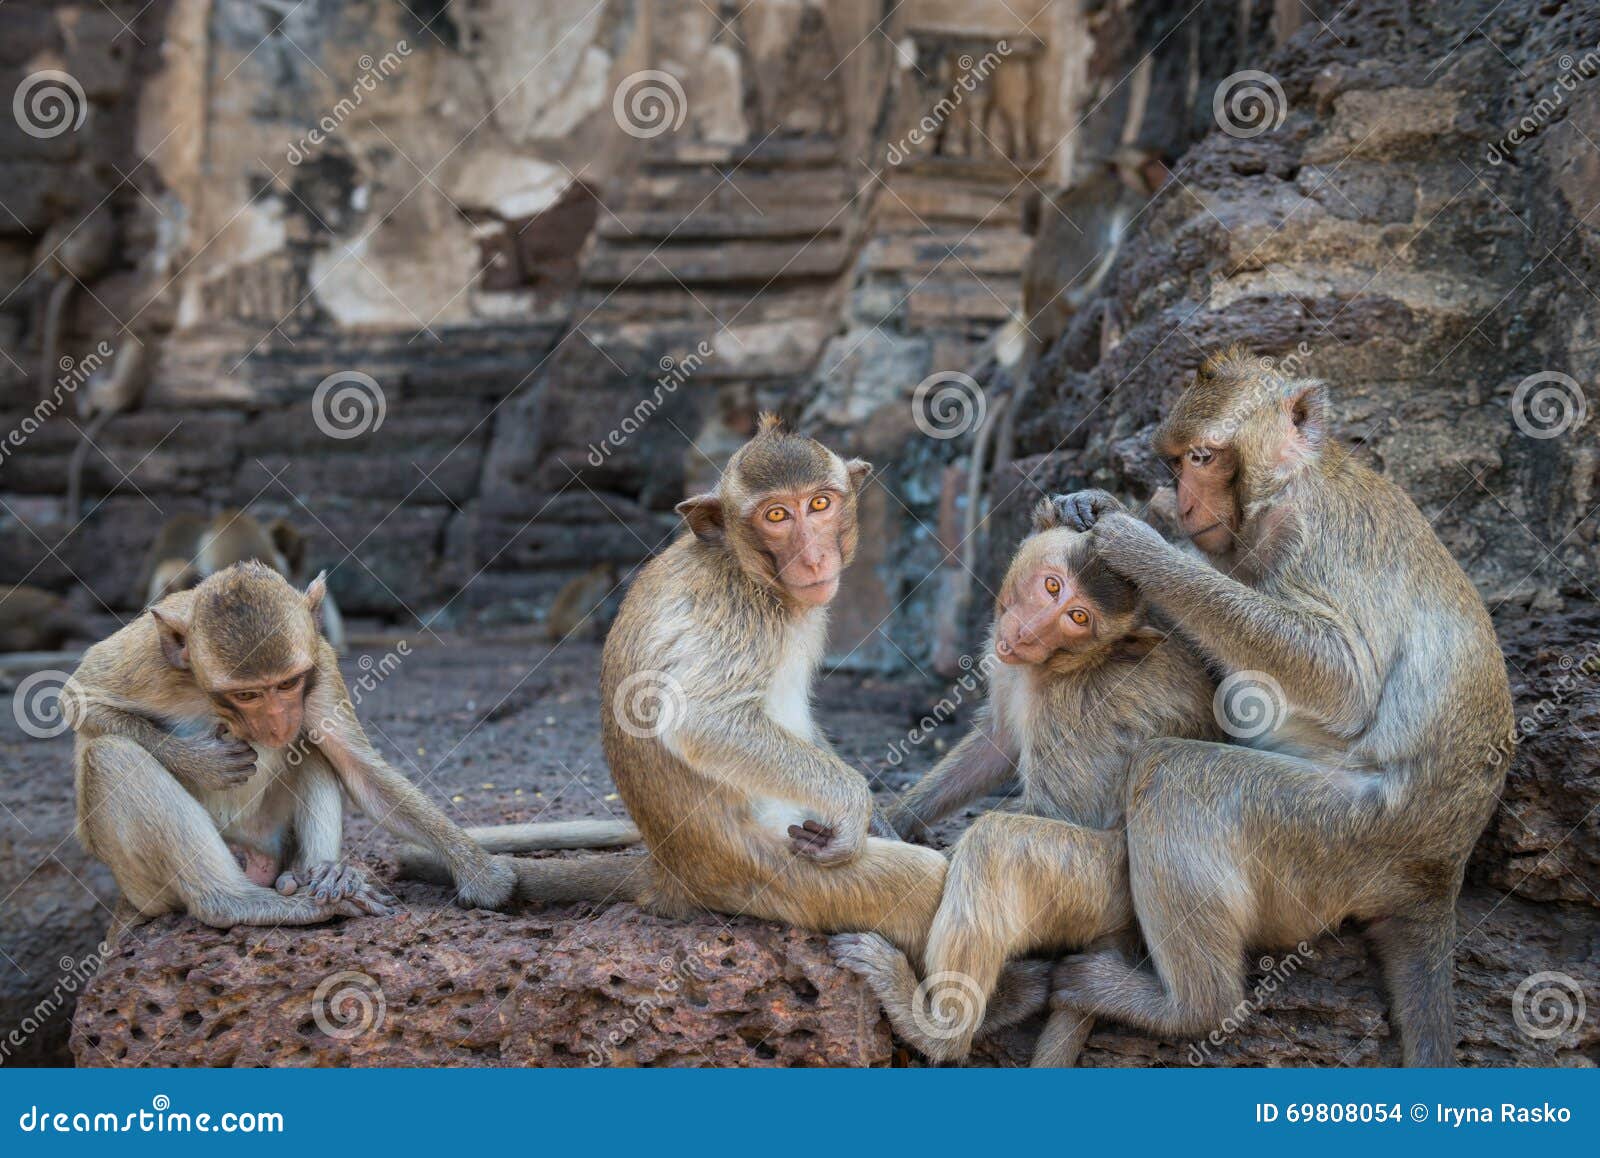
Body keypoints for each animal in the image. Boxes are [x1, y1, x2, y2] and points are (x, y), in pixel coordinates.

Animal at [70, 561, 518, 929]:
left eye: (286, 684)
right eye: (247, 694)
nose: (276, 722)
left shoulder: (321, 668)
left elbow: (359, 770)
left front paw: (480, 872)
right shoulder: (147, 659)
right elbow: (79, 700)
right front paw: (200, 761)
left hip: (267, 832)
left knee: (312, 747)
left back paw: (317, 874)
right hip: (146, 889)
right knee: (109, 754)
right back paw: (240, 903)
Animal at [832, 499, 1220, 1065]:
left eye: (1078, 618)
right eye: (1053, 587)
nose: (1033, 631)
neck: (1061, 666)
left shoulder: (1075, 705)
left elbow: (1061, 812)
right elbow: (995, 745)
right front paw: (892, 817)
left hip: (1094, 887)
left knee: (996, 843)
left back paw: (939, 1028)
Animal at [1047, 350, 1514, 1066]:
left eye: (1204, 457)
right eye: (1177, 461)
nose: (1185, 499)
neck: (1291, 482)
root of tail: (1439, 872)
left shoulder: (1307, 533)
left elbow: (1344, 678)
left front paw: (1138, 541)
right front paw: (1103, 507)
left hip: (1337, 837)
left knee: (1173, 777)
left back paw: (1187, 1008)